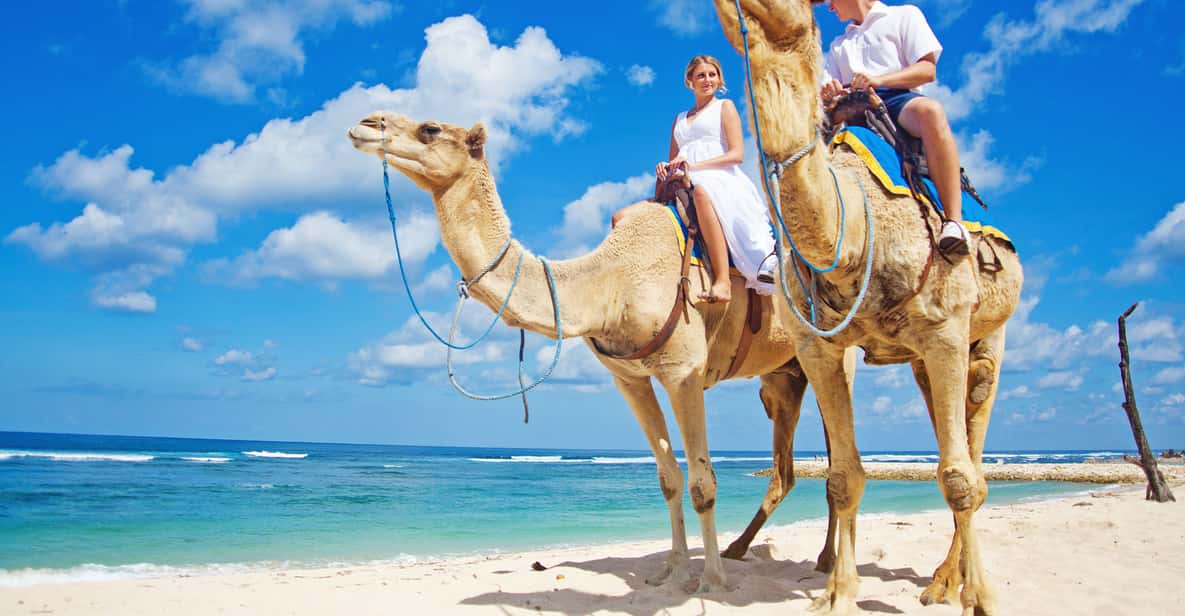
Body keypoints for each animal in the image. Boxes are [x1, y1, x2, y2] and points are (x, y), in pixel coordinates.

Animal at [348, 111, 855, 593]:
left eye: (430, 128)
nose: (365, 124)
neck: (612, 280)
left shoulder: (683, 371)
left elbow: (702, 483)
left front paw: (710, 581)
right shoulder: (629, 378)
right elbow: (669, 479)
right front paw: (671, 571)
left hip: (833, 352)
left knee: (837, 460)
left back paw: (824, 563)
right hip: (783, 378)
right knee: (787, 468)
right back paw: (745, 549)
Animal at [709, 1, 1024, 614]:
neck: (850, 230)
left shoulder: (945, 330)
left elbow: (959, 477)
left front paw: (983, 599)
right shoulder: (817, 347)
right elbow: (842, 476)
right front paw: (837, 592)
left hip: (984, 337)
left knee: (973, 457)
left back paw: (952, 583)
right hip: (923, 363)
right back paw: (941, 581)